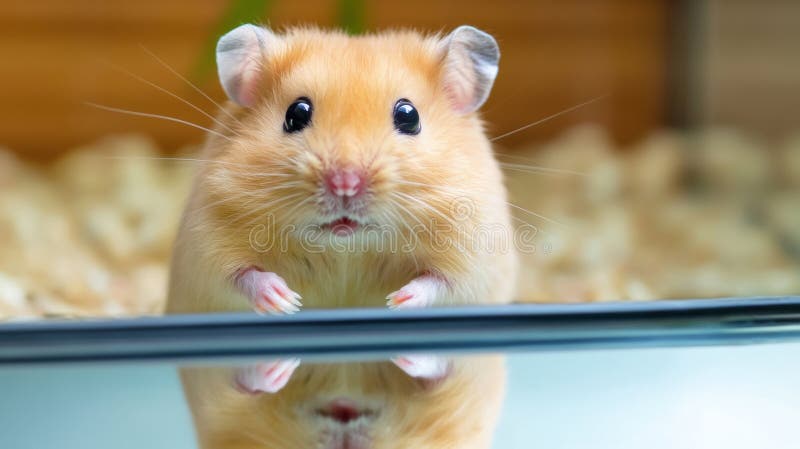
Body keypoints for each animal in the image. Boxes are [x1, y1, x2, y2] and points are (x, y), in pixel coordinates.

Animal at [166, 24, 517, 449]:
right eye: (296, 113)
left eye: (409, 116)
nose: (345, 183)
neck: (347, 246)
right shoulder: (208, 242)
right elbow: (243, 276)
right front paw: (287, 302)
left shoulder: (474, 253)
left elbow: (437, 283)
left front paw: (395, 303)